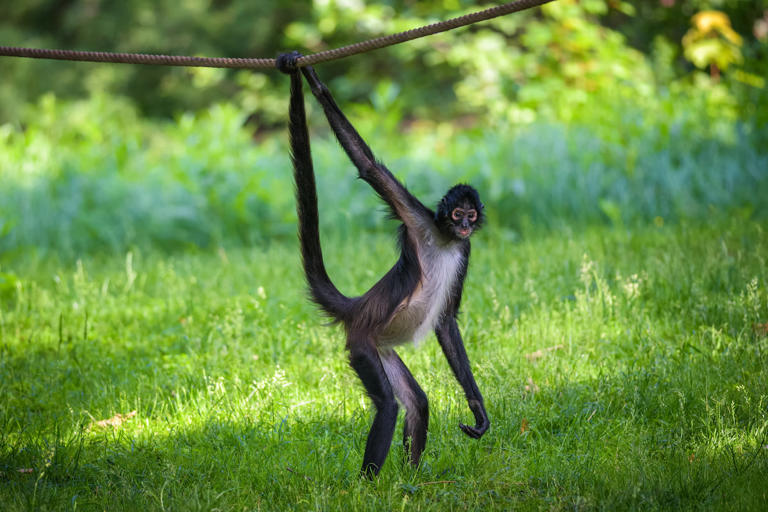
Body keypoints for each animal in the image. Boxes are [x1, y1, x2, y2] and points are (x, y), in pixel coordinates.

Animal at [277, 51, 489, 478]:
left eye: (471, 216)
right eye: (456, 213)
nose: (463, 225)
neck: (444, 239)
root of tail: (359, 307)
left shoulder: (466, 250)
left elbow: (446, 320)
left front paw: (478, 410)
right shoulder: (416, 217)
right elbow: (368, 166)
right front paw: (315, 83)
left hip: (381, 345)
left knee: (416, 402)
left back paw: (412, 481)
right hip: (362, 343)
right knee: (389, 405)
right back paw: (367, 485)